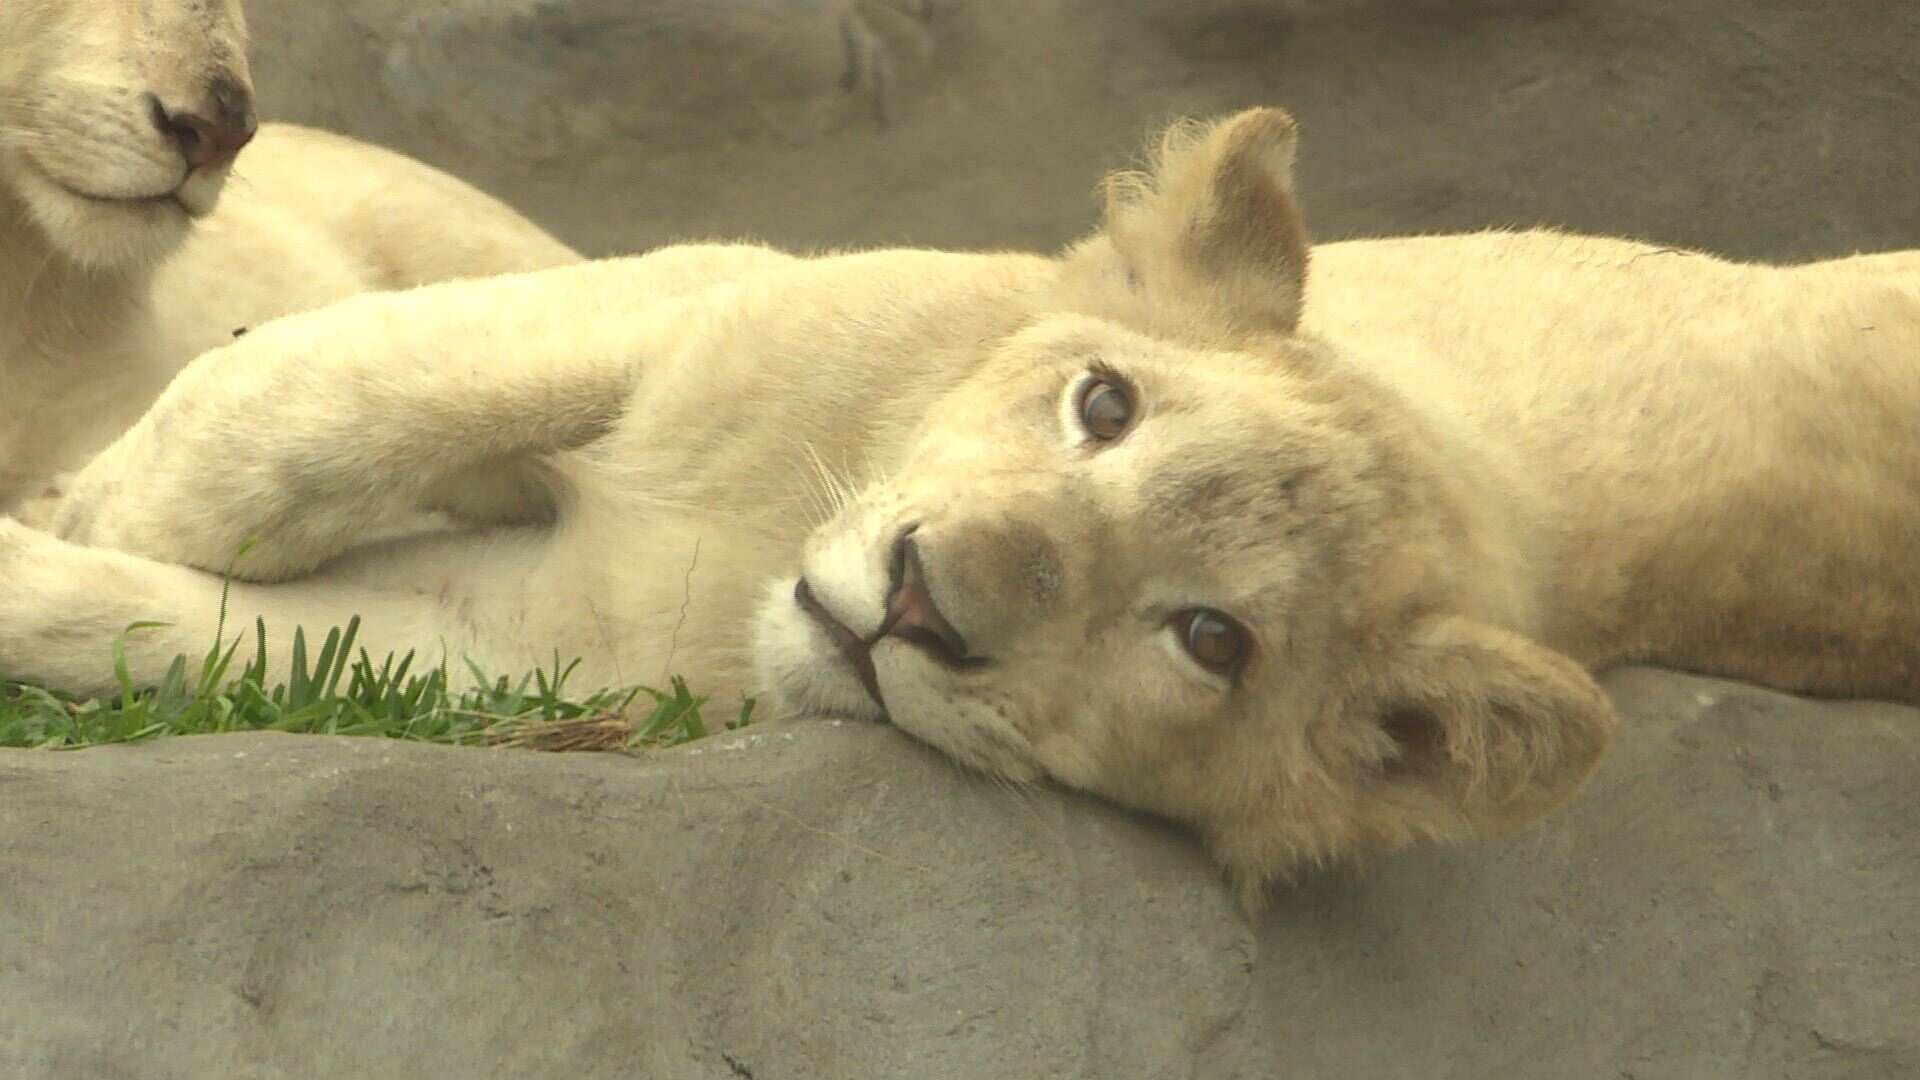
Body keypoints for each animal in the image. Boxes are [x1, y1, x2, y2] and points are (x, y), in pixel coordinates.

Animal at [3, 107, 1915, 903]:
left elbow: (216, 634)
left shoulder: (526, 657)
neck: (739, 558)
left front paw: (61, 552)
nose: (922, 596)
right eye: (1104, 405)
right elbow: (311, 405)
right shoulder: (707, 293)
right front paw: (104, 488)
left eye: (1210, 639)